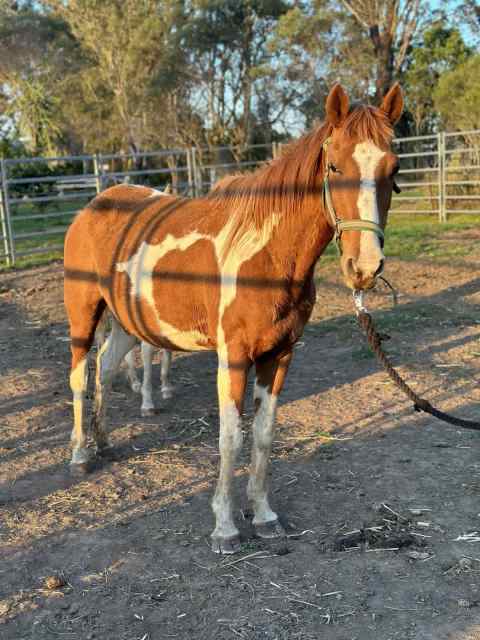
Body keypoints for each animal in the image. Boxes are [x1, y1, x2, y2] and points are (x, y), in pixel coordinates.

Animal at [64, 82, 403, 554]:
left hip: (130, 323)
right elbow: (230, 438)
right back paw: (80, 455)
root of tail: (95, 204)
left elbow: (262, 435)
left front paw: (264, 516)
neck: (266, 254)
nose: (364, 267)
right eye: (334, 165)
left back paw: (103, 441)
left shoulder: (280, 355)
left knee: (107, 365)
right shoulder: (234, 356)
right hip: (82, 314)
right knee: (80, 375)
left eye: (393, 169)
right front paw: (224, 527)